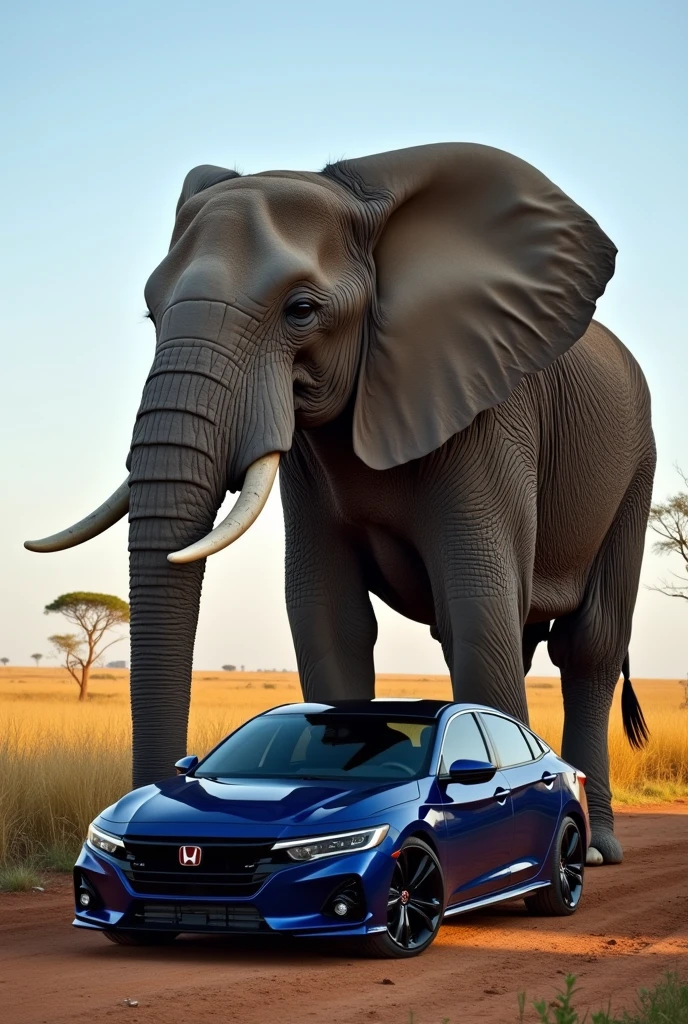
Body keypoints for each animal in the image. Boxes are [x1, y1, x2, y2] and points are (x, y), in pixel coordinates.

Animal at [26, 143, 655, 865]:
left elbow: (478, 606)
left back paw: (600, 849)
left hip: (635, 466)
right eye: (153, 315)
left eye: (301, 310)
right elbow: (328, 616)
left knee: (589, 645)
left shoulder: (490, 414)